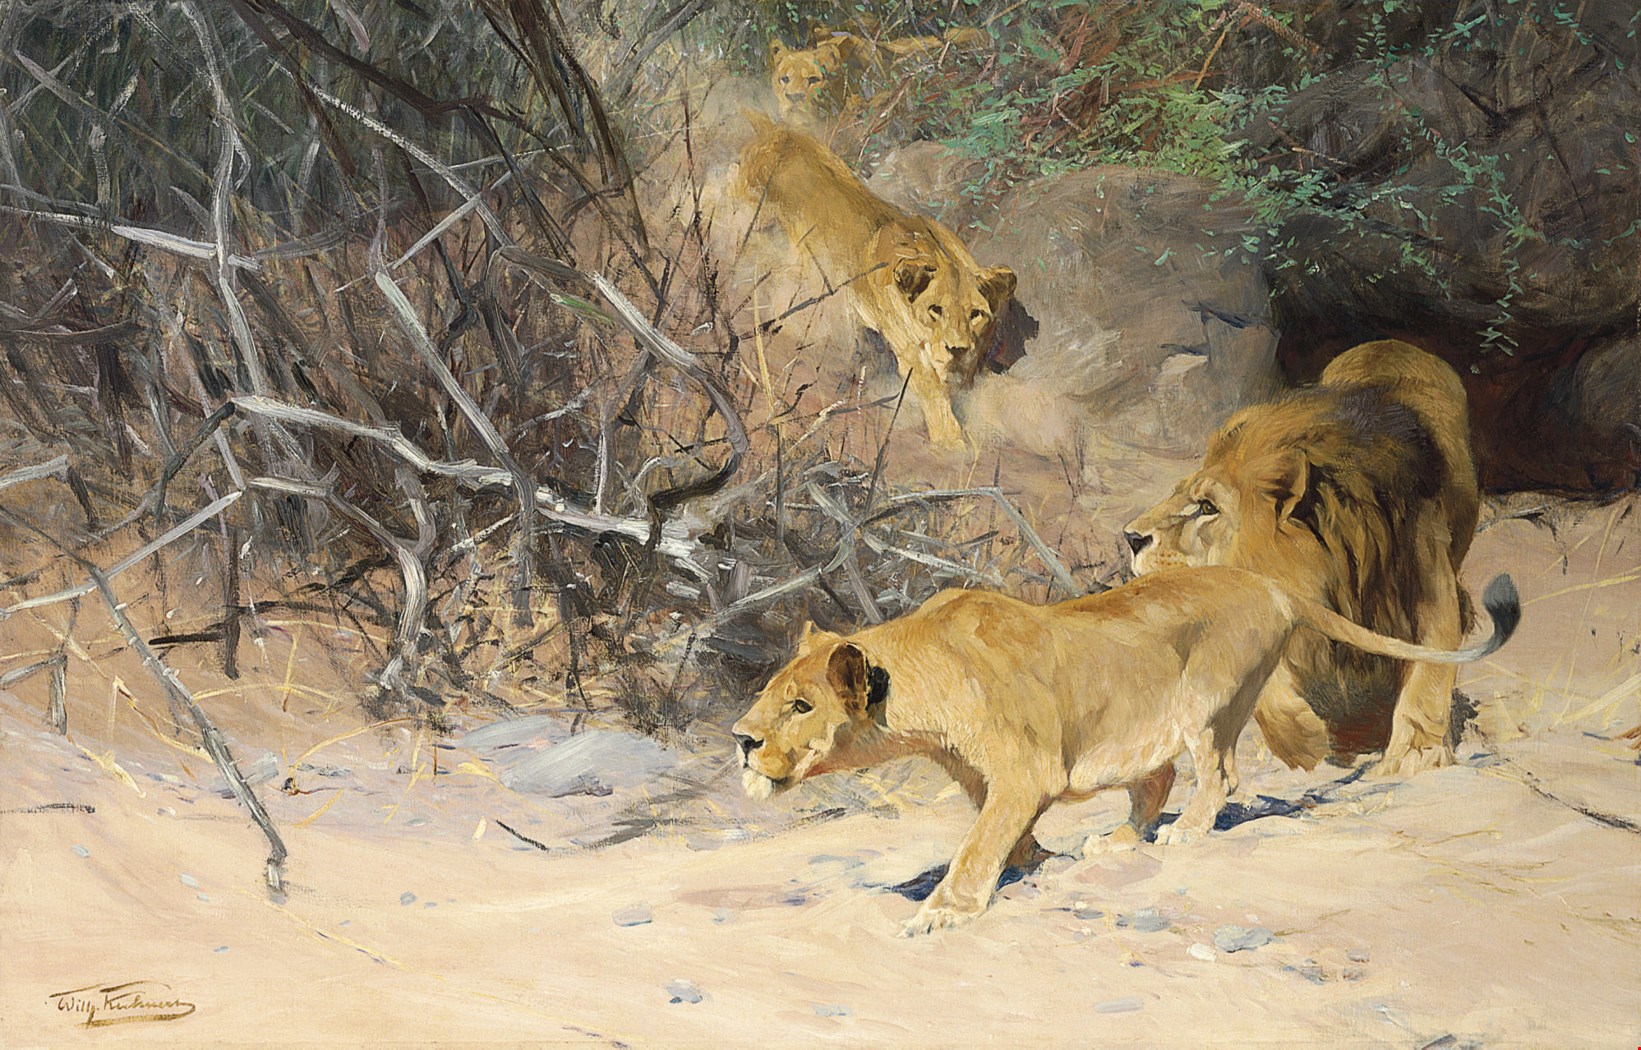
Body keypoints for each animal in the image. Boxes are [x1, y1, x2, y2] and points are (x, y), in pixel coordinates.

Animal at [732, 566, 1519, 935]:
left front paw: (944, 911)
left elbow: (977, 843)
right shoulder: (984, 774)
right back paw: (1115, 841)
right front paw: (1034, 861)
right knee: (1156, 781)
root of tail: (1263, 579)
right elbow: (1000, 829)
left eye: (800, 706)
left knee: (1219, 777)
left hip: (1210, 702)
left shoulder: (1026, 766)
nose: (739, 739)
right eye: (770, 693)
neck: (919, 685)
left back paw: (1184, 835)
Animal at [736, 113, 1017, 448]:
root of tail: (775, 130)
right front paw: (951, 443)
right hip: (747, 207)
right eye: (935, 310)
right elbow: (933, 394)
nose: (957, 349)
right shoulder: (909, 349)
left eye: (976, 314)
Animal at [1122, 339, 1483, 778]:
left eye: (1207, 507)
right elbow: (1268, 684)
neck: (1343, 568)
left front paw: (1415, 753)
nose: (1130, 538)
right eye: (1180, 492)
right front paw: (1304, 742)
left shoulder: (1430, 583)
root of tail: (1391, 341)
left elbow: (1430, 672)